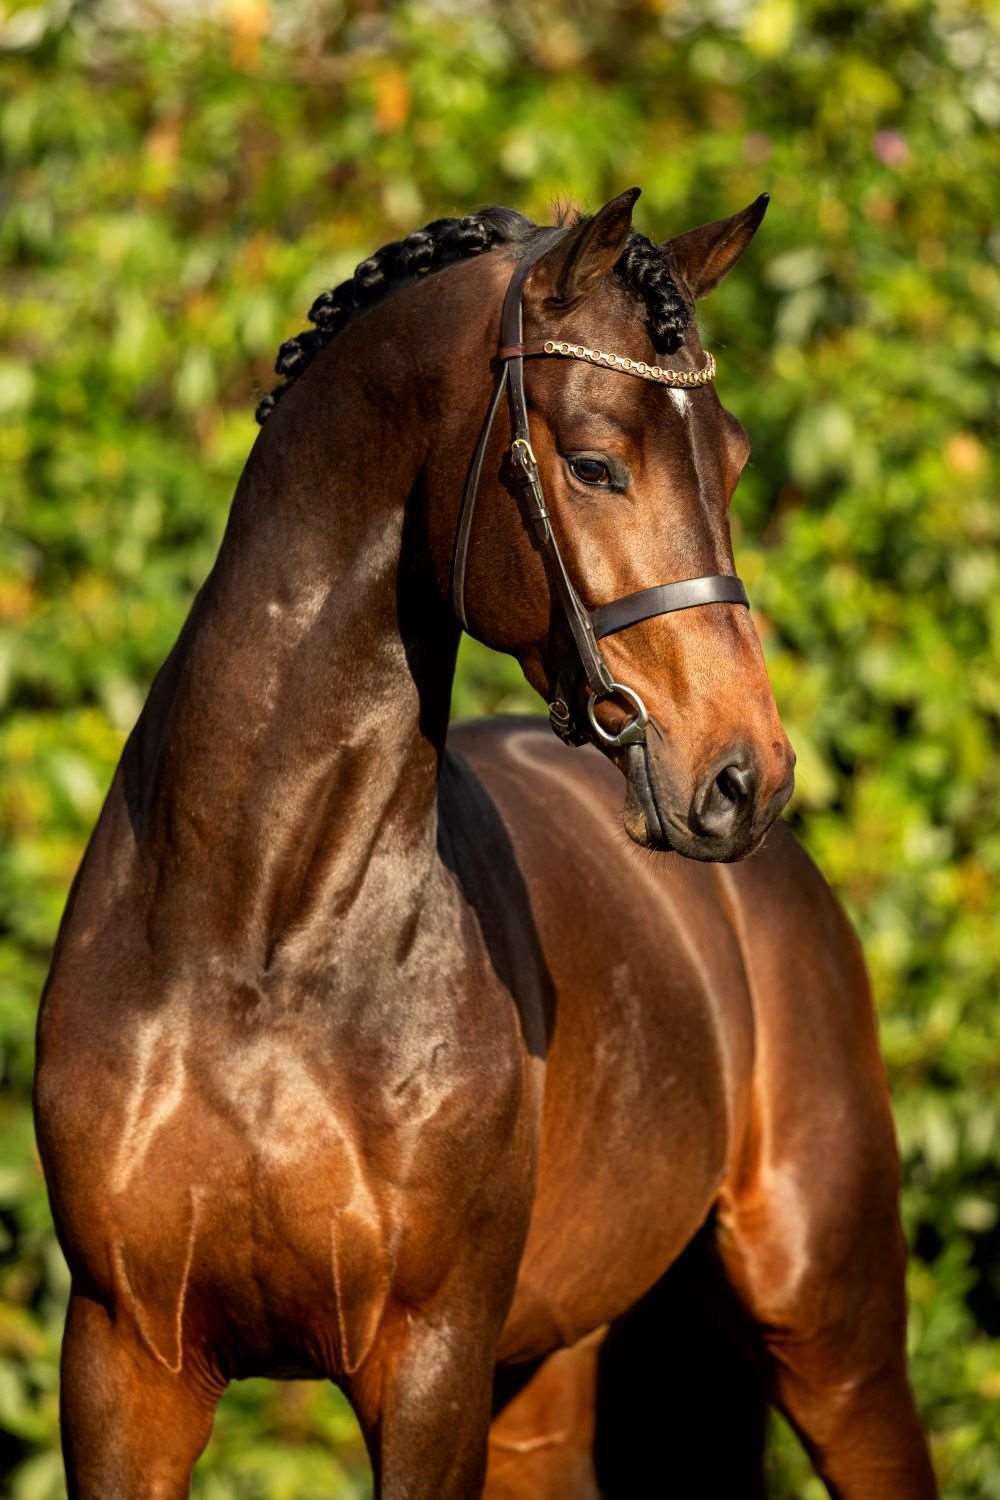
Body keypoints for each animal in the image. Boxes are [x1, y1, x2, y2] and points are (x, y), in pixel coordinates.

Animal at [35, 188, 936, 1498]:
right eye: (595, 462)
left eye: (732, 459)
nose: (744, 776)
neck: (257, 937)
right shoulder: (125, 1366)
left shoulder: (431, 1362)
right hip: (550, 1383)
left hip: (832, 1337)